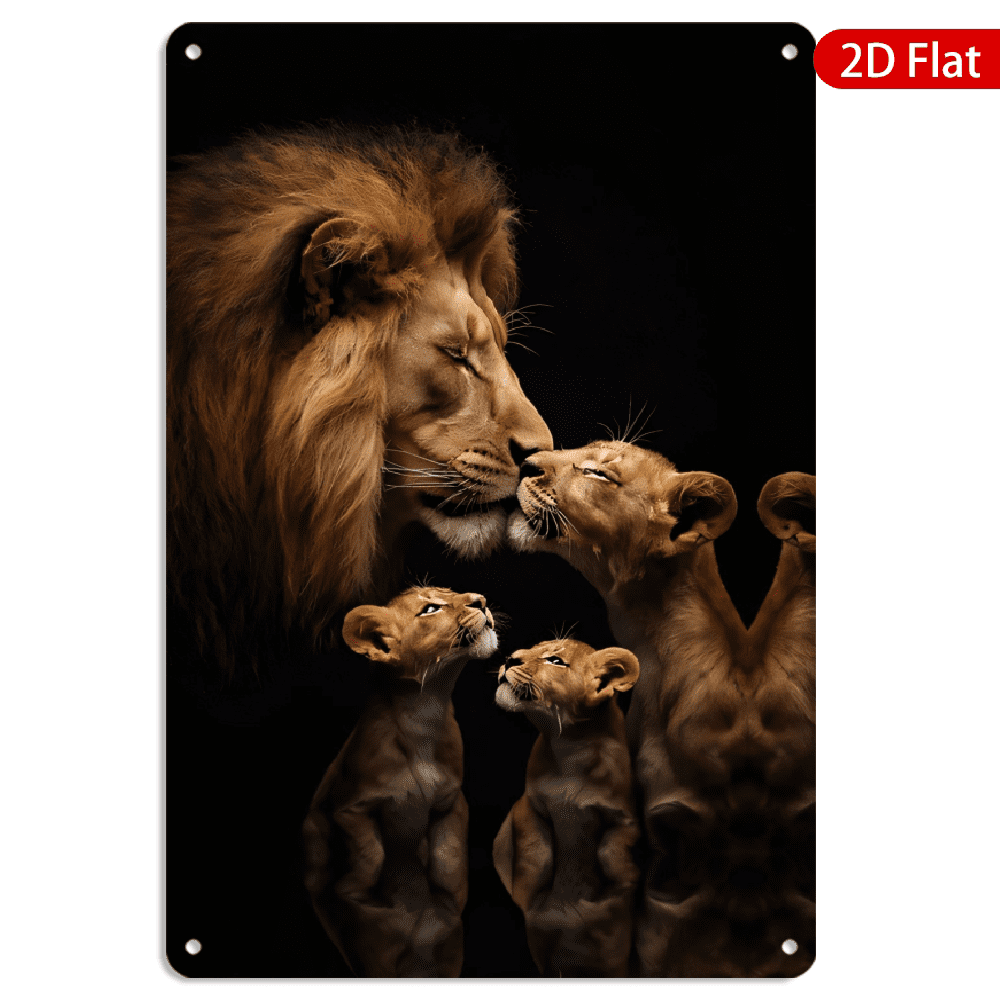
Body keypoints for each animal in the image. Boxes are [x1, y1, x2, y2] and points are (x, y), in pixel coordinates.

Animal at [302, 585, 498, 976]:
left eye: (453, 592)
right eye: (430, 609)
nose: (481, 600)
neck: (425, 710)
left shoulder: (453, 801)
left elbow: (449, 853)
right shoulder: (349, 807)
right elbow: (371, 853)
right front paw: (359, 891)